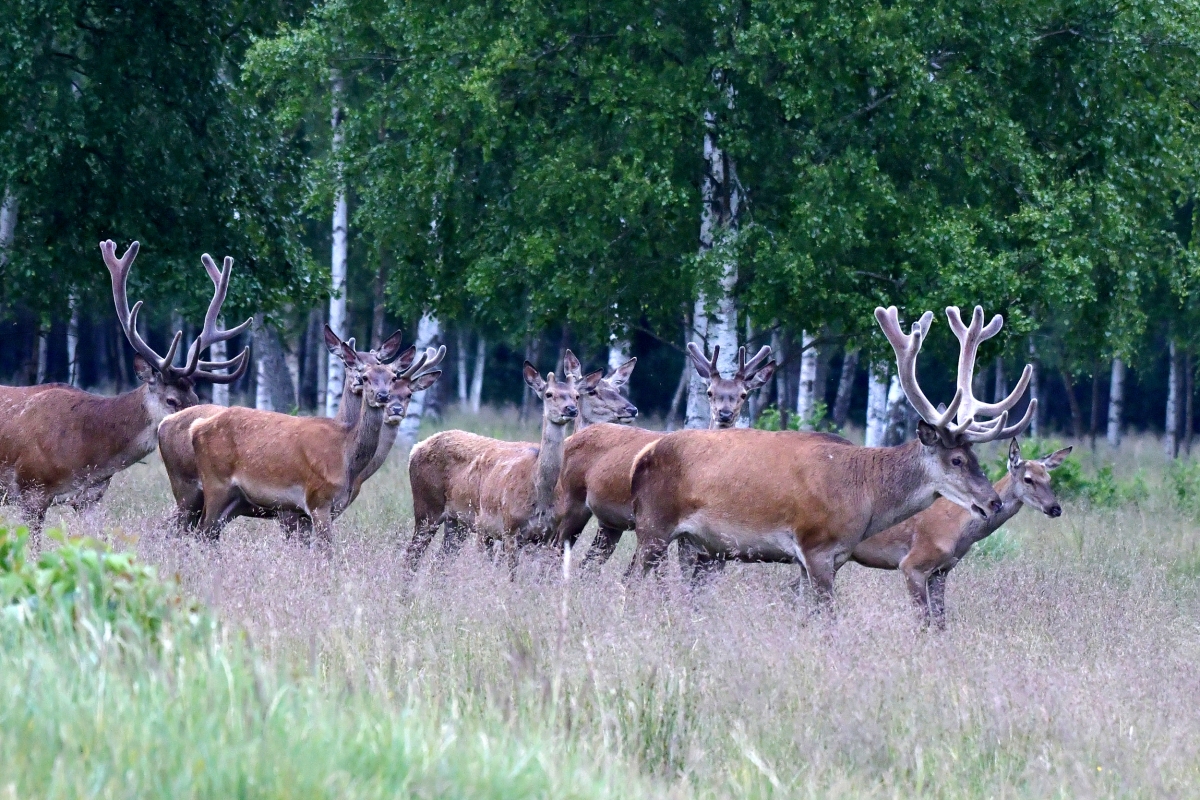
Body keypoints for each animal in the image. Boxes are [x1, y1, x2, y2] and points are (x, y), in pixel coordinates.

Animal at [405, 355, 583, 568]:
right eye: (549, 394)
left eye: (576, 395)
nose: (571, 409)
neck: (540, 495)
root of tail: (415, 448)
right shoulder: (508, 527)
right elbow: (510, 571)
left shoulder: (546, 534)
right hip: (428, 507)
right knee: (411, 555)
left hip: (457, 522)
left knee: (440, 561)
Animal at [624, 307, 1036, 599]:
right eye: (957, 460)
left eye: (977, 458)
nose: (994, 501)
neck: (864, 496)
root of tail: (643, 455)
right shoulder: (816, 545)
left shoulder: (830, 556)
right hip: (654, 525)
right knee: (630, 580)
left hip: (693, 543)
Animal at [854, 441, 1070, 628]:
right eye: (1028, 479)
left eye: (1049, 478)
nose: (1055, 508)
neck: (958, 528)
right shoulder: (912, 563)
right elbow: (923, 620)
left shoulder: (942, 569)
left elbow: (940, 620)